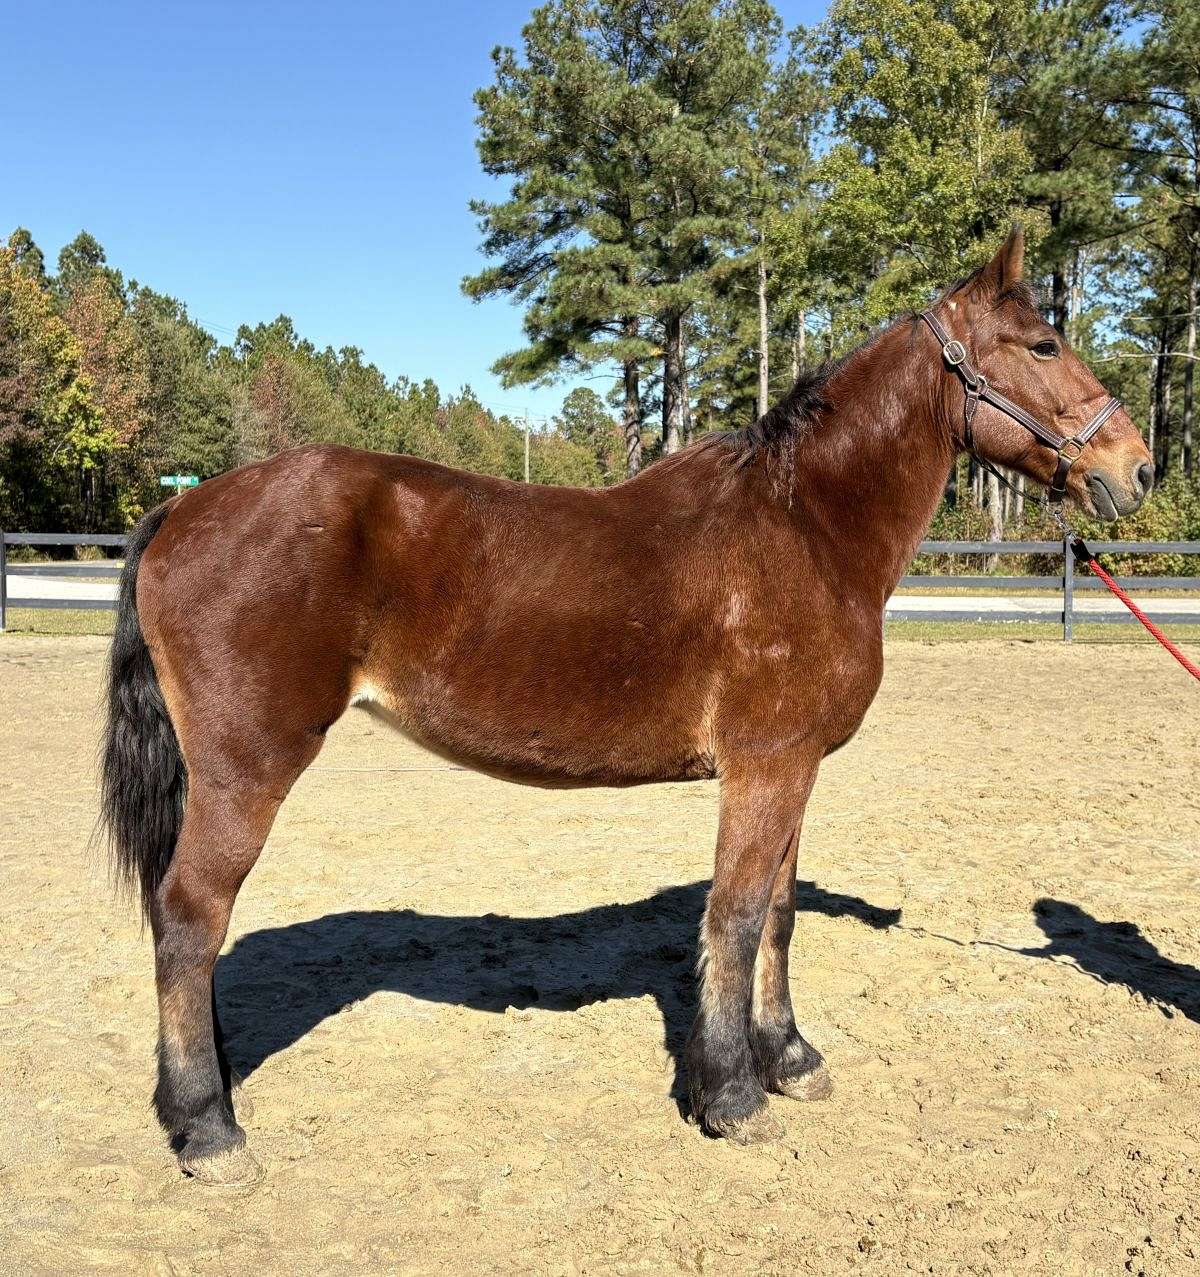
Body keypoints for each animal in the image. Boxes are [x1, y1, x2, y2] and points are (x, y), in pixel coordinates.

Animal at [101, 226, 1153, 1184]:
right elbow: (735, 916)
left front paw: (790, 1058)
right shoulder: (766, 764)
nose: (1136, 467)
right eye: (1043, 344)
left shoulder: (795, 767)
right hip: (248, 767)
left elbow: (778, 915)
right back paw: (211, 1130)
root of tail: (183, 508)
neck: (806, 524)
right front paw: (731, 1095)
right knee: (190, 915)